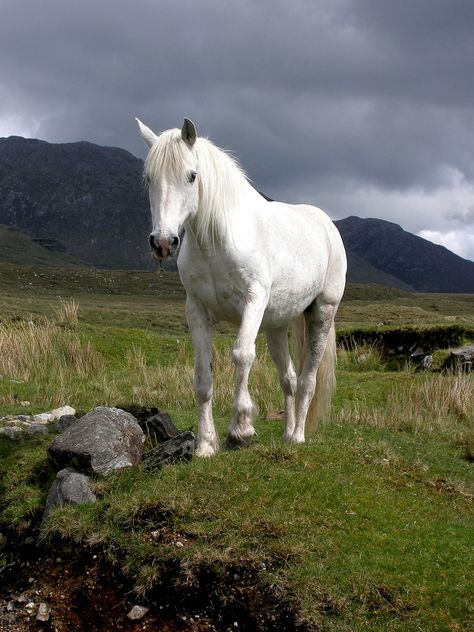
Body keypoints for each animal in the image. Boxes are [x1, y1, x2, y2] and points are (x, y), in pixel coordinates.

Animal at [135, 117, 346, 454]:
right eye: (149, 178)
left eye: (191, 176)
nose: (163, 242)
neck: (216, 241)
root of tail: (325, 223)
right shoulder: (196, 310)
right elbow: (202, 376)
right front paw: (206, 445)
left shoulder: (252, 301)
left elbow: (242, 355)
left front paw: (241, 429)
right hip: (277, 325)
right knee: (289, 378)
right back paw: (287, 434)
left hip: (322, 313)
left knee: (307, 379)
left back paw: (298, 435)